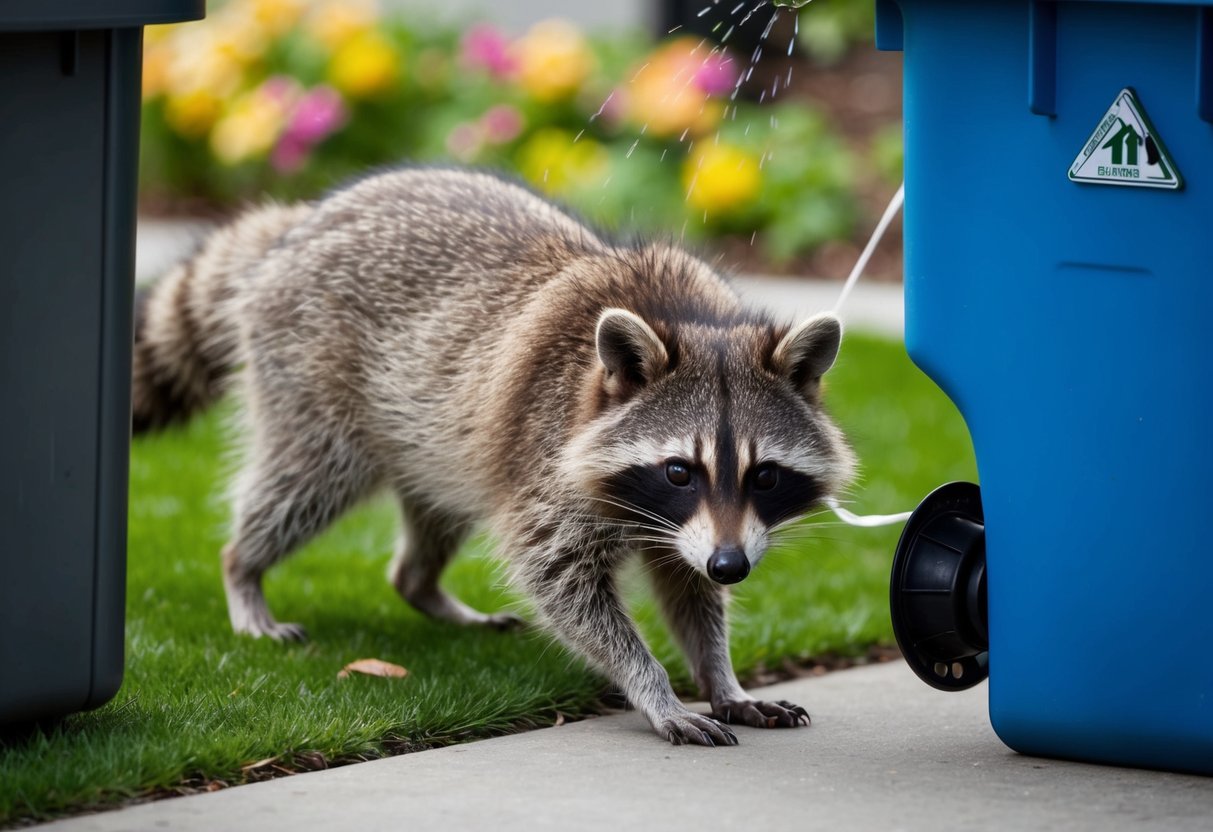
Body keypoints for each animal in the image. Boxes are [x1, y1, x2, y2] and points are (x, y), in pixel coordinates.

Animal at [132, 168, 855, 747]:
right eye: (680, 470)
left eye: (765, 476)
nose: (732, 565)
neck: (688, 318)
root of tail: (299, 223)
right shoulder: (547, 458)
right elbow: (559, 580)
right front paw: (651, 685)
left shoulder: (688, 528)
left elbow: (690, 590)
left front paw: (721, 678)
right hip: (313, 381)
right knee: (302, 483)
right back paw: (244, 569)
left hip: (438, 438)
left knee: (434, 517)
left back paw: (421, 584)